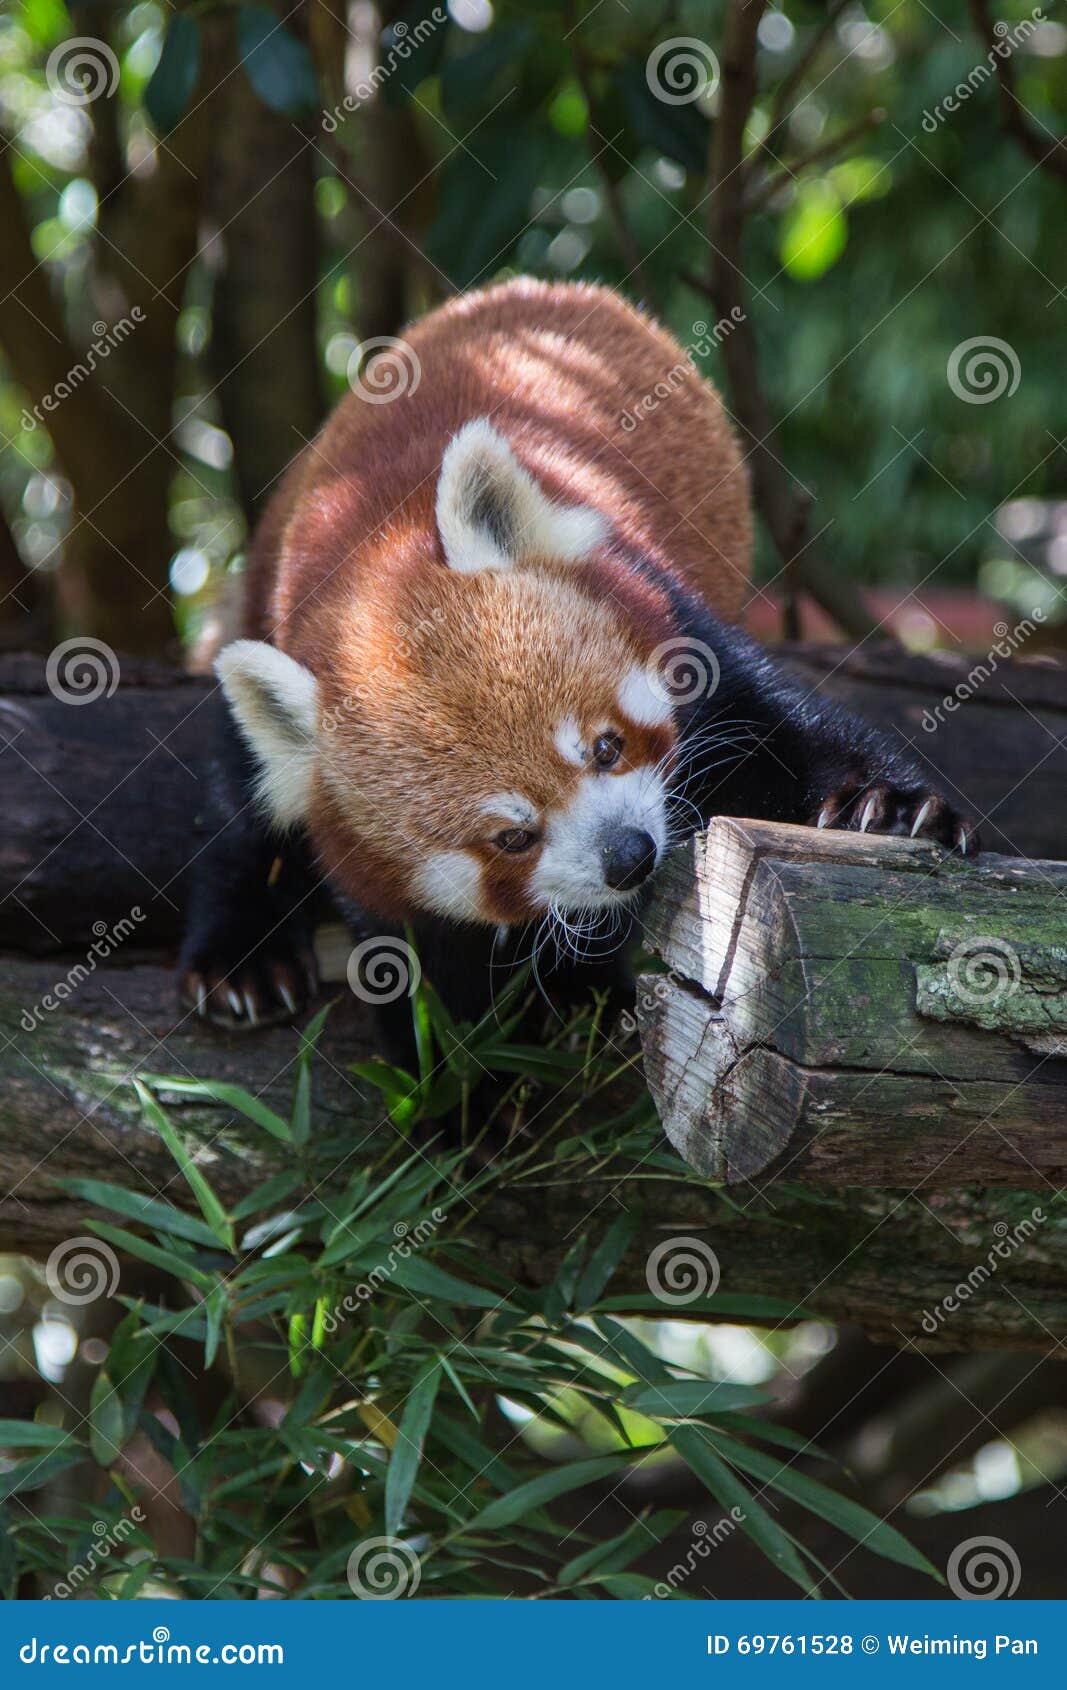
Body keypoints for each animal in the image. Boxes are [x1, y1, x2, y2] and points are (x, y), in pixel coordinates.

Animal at [179, 277, 972, 1034]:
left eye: (605, 747)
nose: (628, 855)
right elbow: (421, 965)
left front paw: (885, 808)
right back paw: (240, 960)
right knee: (240, 780)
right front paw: (497, 1052)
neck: (374, 565)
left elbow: (779, 728)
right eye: (512, 837)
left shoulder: (663, 604)